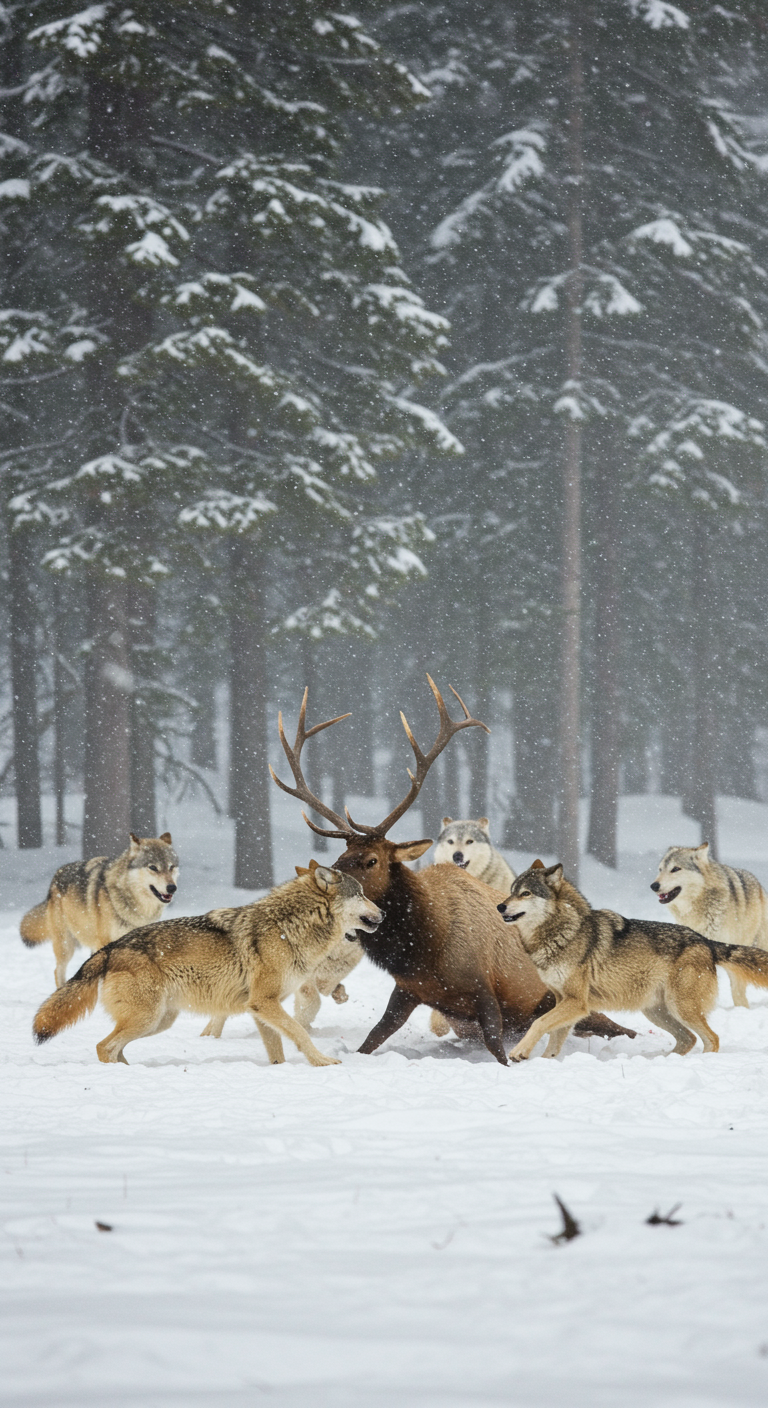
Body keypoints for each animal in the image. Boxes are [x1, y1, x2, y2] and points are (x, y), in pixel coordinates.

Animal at [20, 833, 179, 988]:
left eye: (171, 867)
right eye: (153, 867)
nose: (172, 887)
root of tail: (54, 878)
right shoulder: (106, 943)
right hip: (66, 945)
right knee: (57, 971)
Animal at [33, 865, 382, 1066]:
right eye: (361, 894)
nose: (385, 914)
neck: (290, 926)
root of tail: (109, 949)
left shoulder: (260, 1009)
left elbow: (277, 1052)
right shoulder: (264, 1003)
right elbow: (300, 1032)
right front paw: (322, 1062)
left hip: (159, 1021)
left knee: (115, 1050)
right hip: (147, 1019)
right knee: (104, 1047)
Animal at [497, 860, 768, 1061]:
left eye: (525, 893)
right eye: (511, 892)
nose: (500, 906)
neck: (563, 931)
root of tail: (705, 941)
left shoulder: (577, 1003)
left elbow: (538, 1023)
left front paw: (519, 1052)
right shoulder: (563, 1000)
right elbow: (553, 1041)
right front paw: (545, 1063)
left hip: (680, 1007)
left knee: (712, 1038)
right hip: (656, 1012)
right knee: (688, 1039)